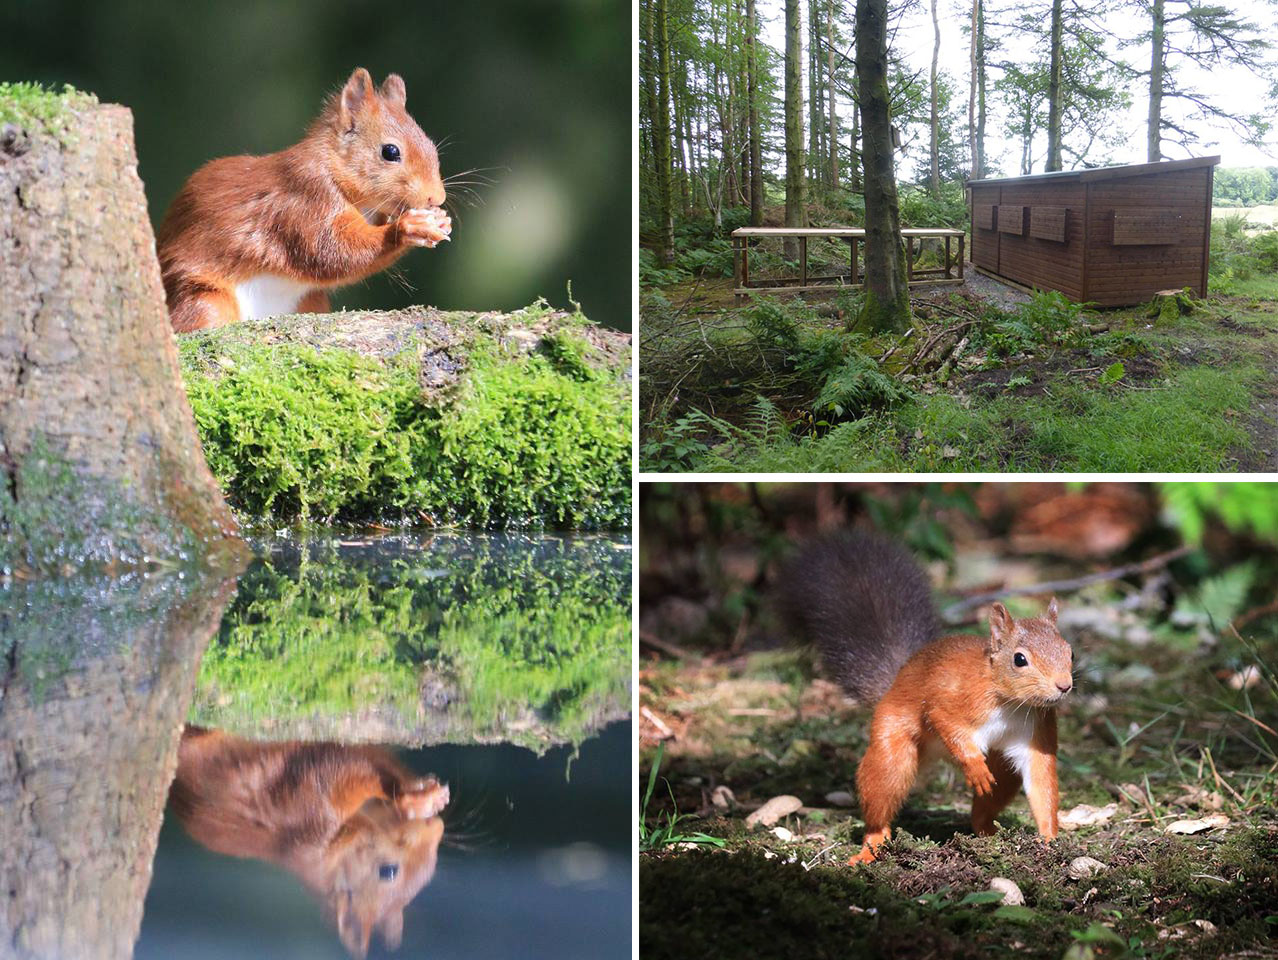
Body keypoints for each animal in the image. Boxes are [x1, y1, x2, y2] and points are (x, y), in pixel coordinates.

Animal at [156, 67, 451, 333]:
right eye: (390, 152)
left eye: (431, 145)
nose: (436, 197)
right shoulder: (307, 198)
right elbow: (331, 249)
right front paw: (407, 228)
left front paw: (440, 220)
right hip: (204, 299)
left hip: (311, 301)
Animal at [170, 727, 450, 959]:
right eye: (388, 871)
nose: (438, 829)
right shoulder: (316, 794)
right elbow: (357, 768)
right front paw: (420, 799)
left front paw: (430, 795)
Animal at [777, 531, 1074, 864]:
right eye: (1019, 659)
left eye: (1070, 652)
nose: (1064, 686)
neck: (1010, 703)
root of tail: (896, 679)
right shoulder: (956, 698)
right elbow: (943, 718)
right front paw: (974, 767)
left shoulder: (1037, 728)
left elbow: (1041, 781)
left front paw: (1049, 839)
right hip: (893, 746)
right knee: (883, 791)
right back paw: (872, 845)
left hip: (1003, 769)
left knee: (987, 803)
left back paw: (988, 833)